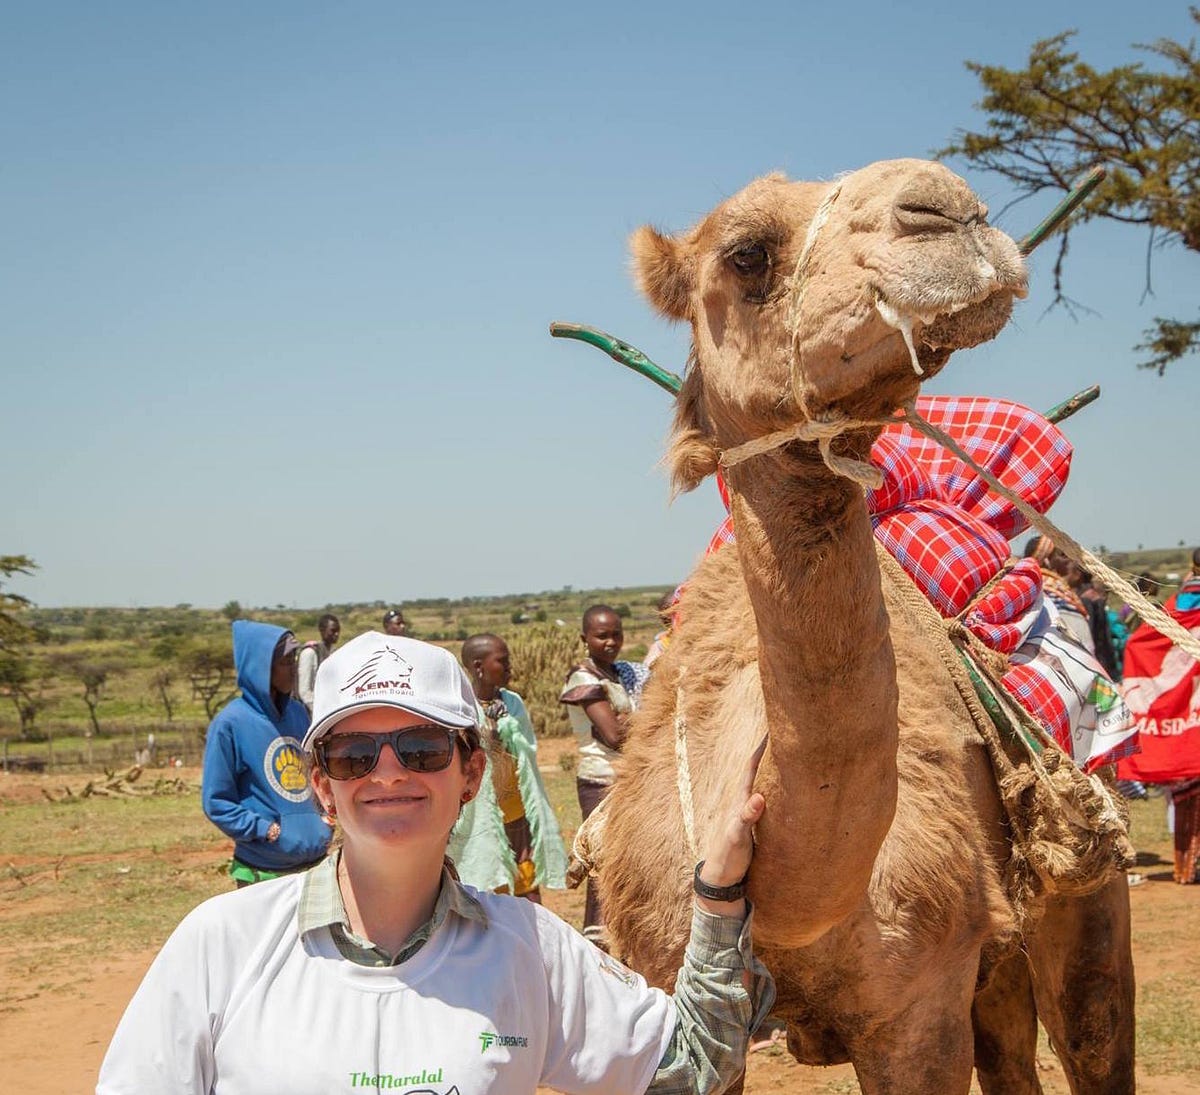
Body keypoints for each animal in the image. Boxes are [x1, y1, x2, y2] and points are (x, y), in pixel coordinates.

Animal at [596, 160, 1136, 1094]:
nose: (951, 210)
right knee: (1012, 1050)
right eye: (746, 251)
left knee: (1094, 1030)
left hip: (1079, 894)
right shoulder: (665, 981)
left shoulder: (917, 1014)